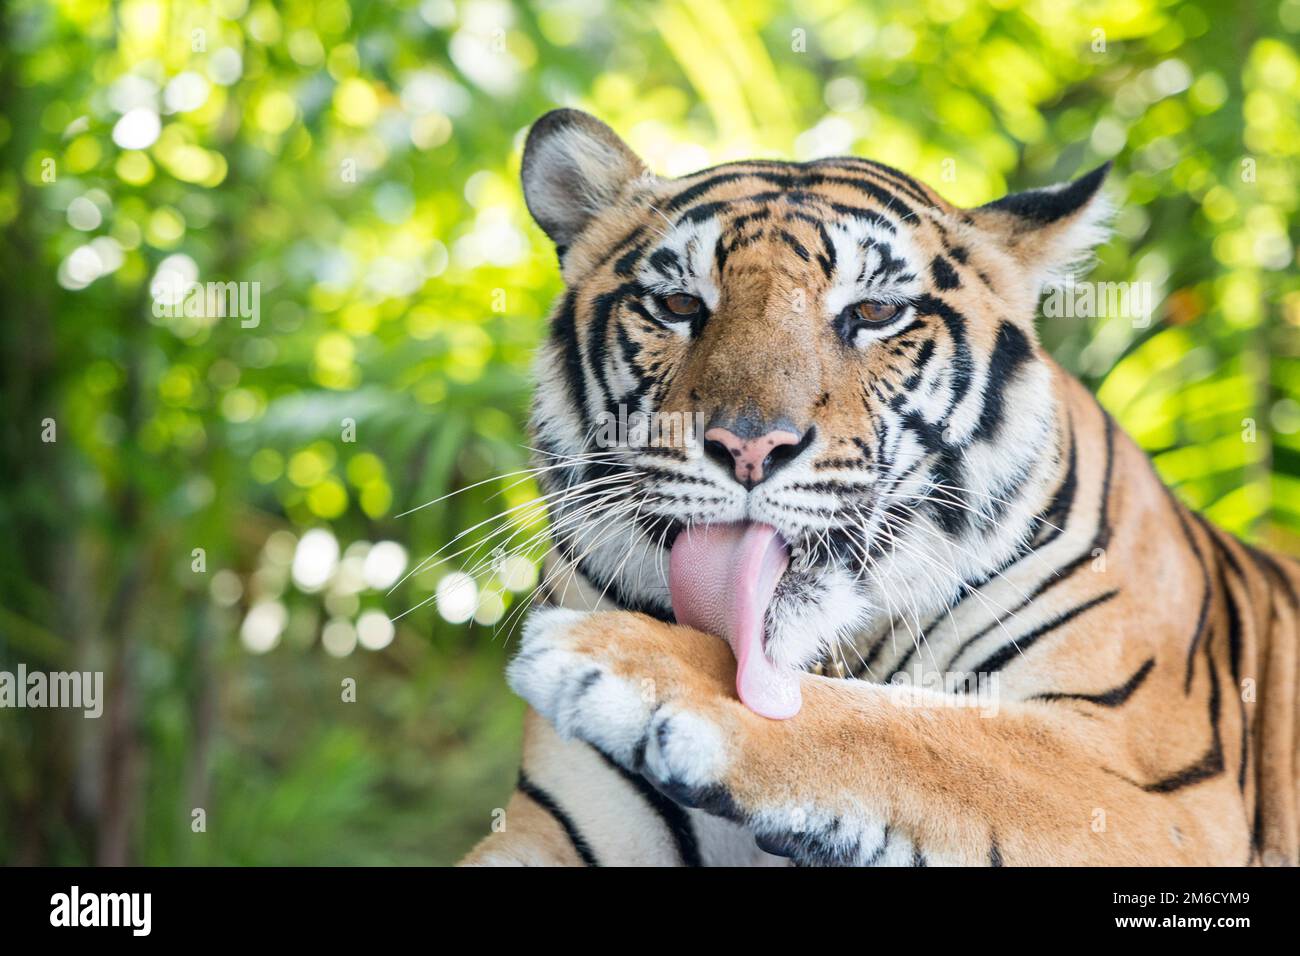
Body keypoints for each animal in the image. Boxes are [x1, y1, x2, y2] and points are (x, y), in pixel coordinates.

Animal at [460, 109, 1300, 867]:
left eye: (873, 312)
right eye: (677, 304)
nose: (750, 446)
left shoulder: (1152, 785)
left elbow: (917, 734)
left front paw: (626, 658)